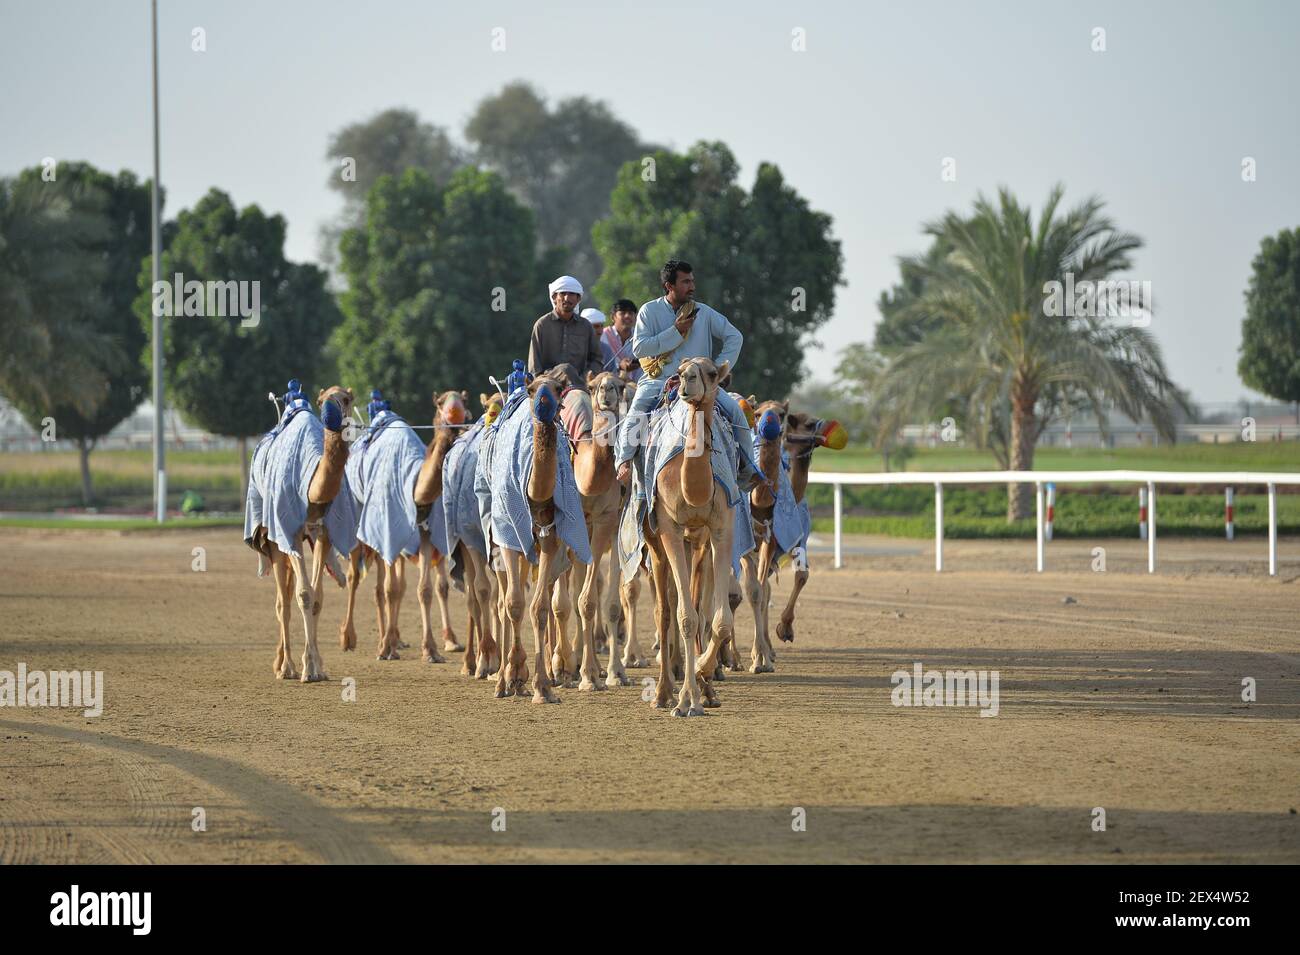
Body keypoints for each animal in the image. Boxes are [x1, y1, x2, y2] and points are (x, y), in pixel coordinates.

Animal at [246, 385, 357, 684]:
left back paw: (284, 663)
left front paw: (319, 667)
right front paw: (306, 670)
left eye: (346, 399)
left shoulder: (323, 533)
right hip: (271, 537)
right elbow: (304, 594)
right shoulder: (290, 531)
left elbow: (316, 596)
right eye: (321, 400)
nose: (330, 416)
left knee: (288, 592)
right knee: (282, 602)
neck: (313, 494)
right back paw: (285, 667)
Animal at [645, 357, 738, 717]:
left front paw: (701, 673)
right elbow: (685, 617)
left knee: (698, 606)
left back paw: (705, 690)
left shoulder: (721, 529)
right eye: (682, 369)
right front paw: (686, 701)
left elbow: (719, 620)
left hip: (696, 543)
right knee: (665, 610)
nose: (685, 380)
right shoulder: (669, 529)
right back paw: (663, 693)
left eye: (711, 372)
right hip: (656, 543)